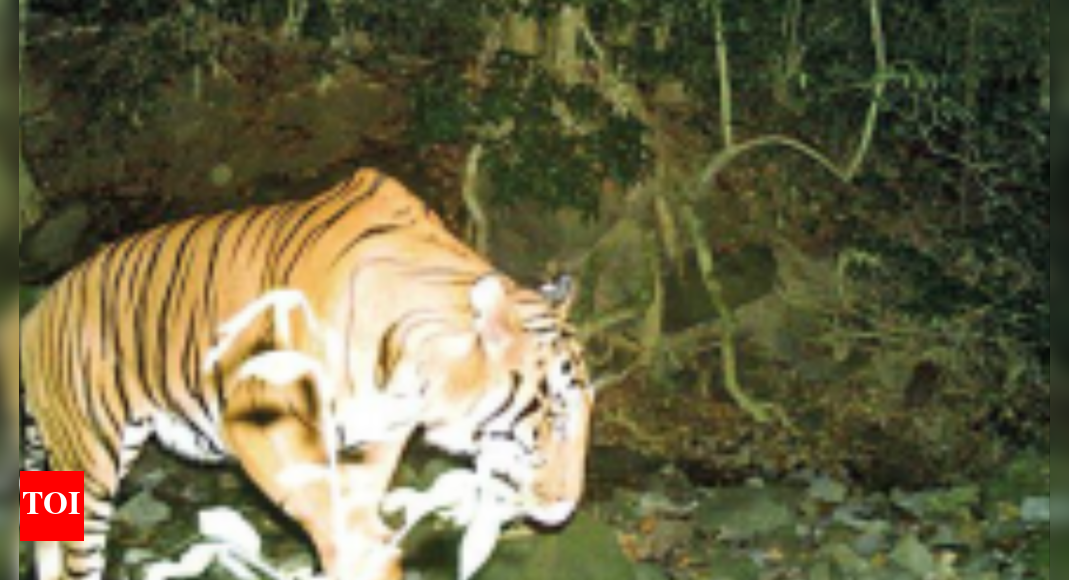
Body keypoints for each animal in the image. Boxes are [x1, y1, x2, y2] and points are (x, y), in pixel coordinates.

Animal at [15, 168, 596, 580]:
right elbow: (320, 501)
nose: (568, 506)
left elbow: (356, 496)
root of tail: (38, 309)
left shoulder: (377, 433)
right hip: (89, 462)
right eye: (556, 418)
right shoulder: (257, 417)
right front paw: (363, 555)